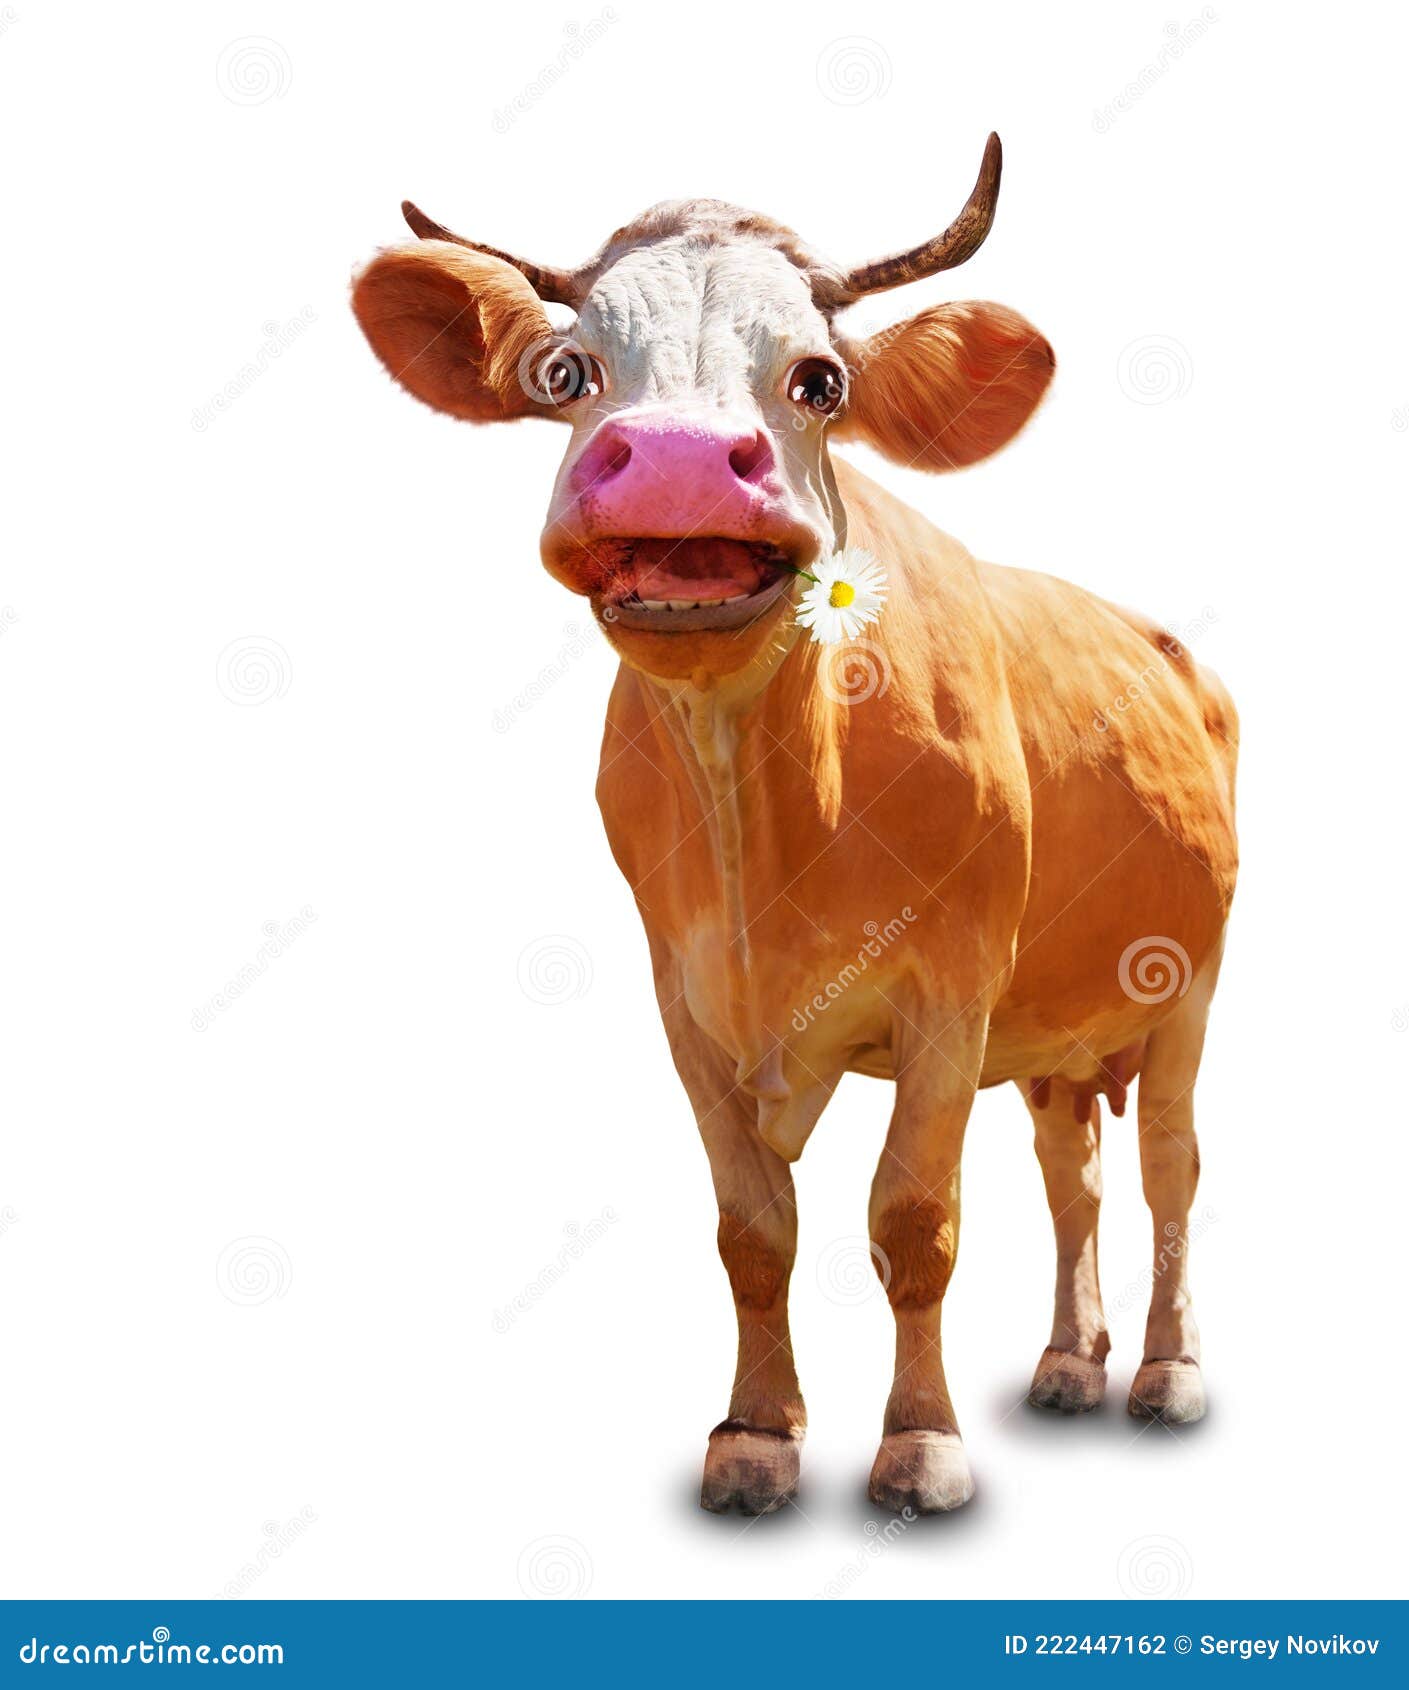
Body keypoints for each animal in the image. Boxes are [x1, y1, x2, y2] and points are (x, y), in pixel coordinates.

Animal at [351, 134, 1238, 1516]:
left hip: (1187, 982)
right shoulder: (682, 995)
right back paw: (1065, 1362)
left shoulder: (951, 988)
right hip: (1058, 1025)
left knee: (1165, 1165)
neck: (760, 820)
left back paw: (1165, 1370)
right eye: (570, 372)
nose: (673, 460)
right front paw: (755, 1435)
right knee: (1072, 1173)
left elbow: (913, 1220)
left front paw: (919, 1444)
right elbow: (751, 1228)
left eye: (818, 380)